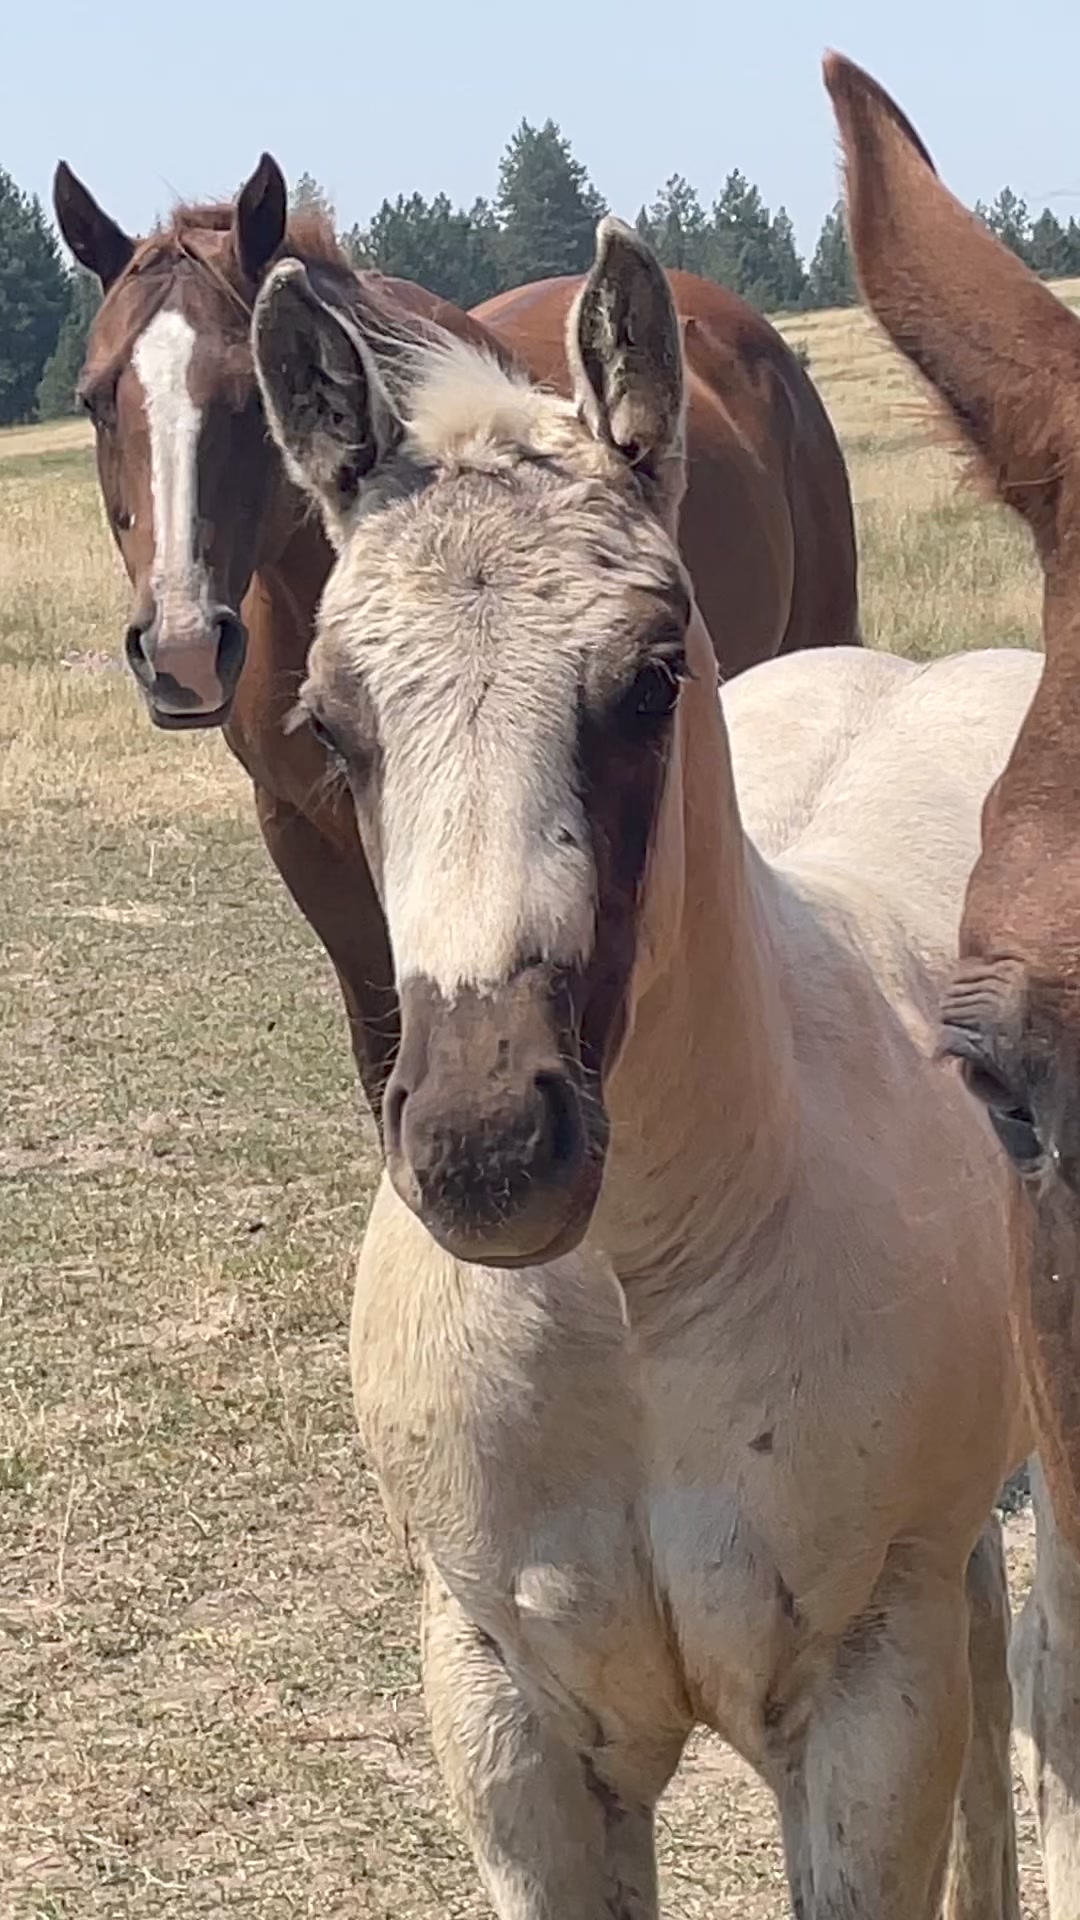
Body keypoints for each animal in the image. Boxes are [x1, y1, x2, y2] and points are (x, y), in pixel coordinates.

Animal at [251, 208, 1074, 1920]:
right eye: (332, 723)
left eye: (649, 675)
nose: (490, 1147)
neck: (634, 1300)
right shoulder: (505, 1717)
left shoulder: (867, 1712)